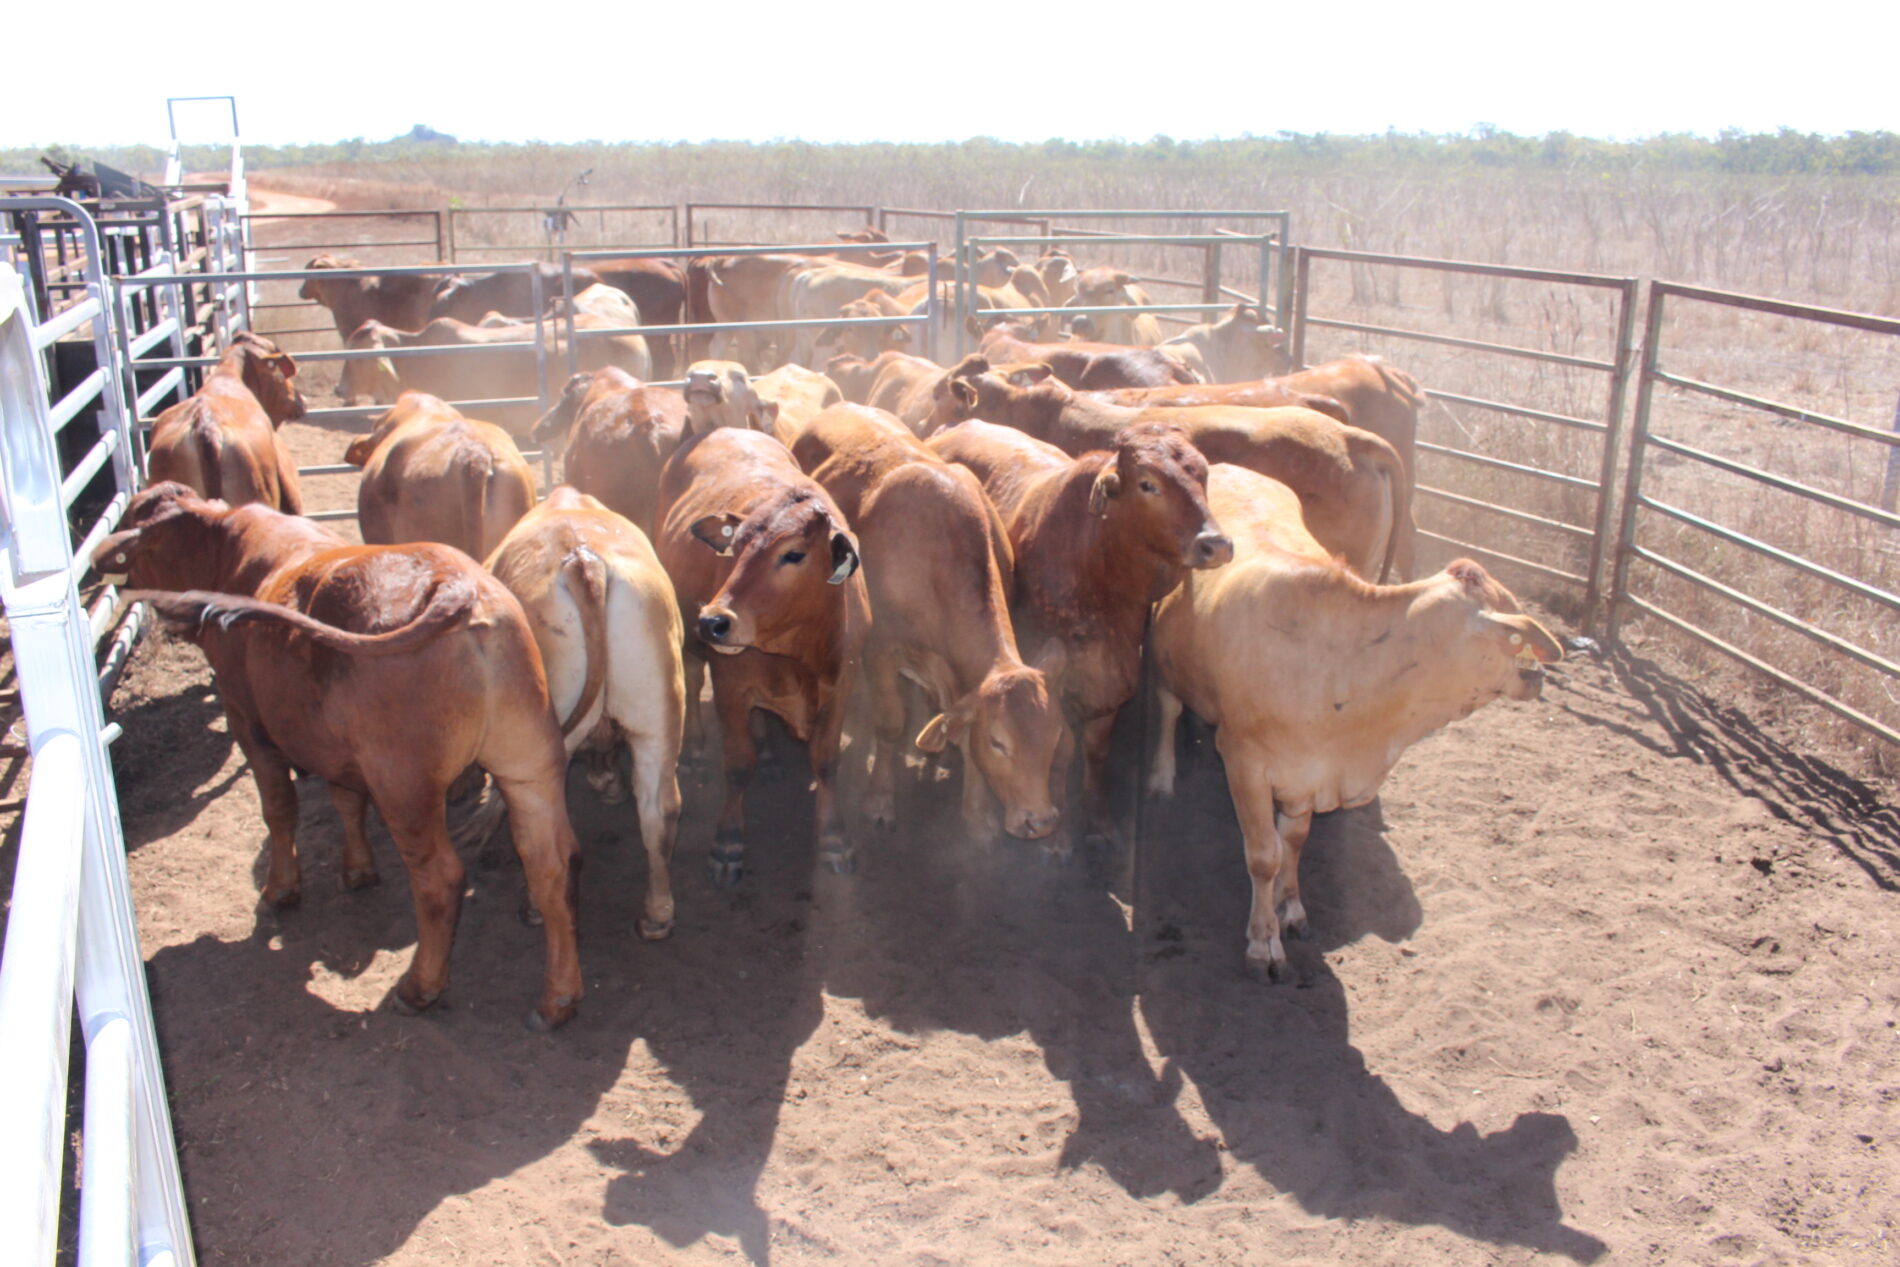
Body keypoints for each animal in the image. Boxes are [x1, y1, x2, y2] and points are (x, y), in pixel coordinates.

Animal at [93, 483, 584, 1028]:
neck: (230, 553)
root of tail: (458, 585)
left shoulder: (249, 723)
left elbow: (279, 809)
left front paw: (281, 889)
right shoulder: (336, 750)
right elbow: (346, 801)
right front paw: (359, 870)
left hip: (405, 786)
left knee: (440, 878)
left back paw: (420, 987)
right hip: (530, 765)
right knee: (550, 863)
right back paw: (559, 999)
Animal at [480, 487, 685, 940]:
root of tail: (584, 562)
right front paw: (608, 782)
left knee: (544, 832)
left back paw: (534, 906)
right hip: (658, 716)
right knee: (659, 811)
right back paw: (656, 915)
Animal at [652, 426, 870, 884]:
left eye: (793, 554)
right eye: (734, 550)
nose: (713, 621)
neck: (800, 654)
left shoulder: (842, 686)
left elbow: (826, 761)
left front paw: (834, 838)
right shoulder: (731, 686)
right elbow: (737, 765)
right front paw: (728, 842)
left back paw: (769, 753)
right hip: (689, 644)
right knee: (692, 678)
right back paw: (695, 747)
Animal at [927, 420, 1230, 850]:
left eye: (1203, 474)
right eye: (1148, 483)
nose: (1216, 545)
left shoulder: (1109, 688)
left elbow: (1096, 753)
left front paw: (1099, 820)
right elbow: (1061, 756)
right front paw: (1059, 840)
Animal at [1148, 463, 1562, 979]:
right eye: (1512, 634)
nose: (1541, 670)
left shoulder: (1309, 773)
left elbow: (1294, 842)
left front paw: (1291, 908)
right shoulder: (1245, 762)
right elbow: (1264, 855)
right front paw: (1263, 940)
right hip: (1165, 646)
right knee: (1168, 707)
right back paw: (1162, 776)